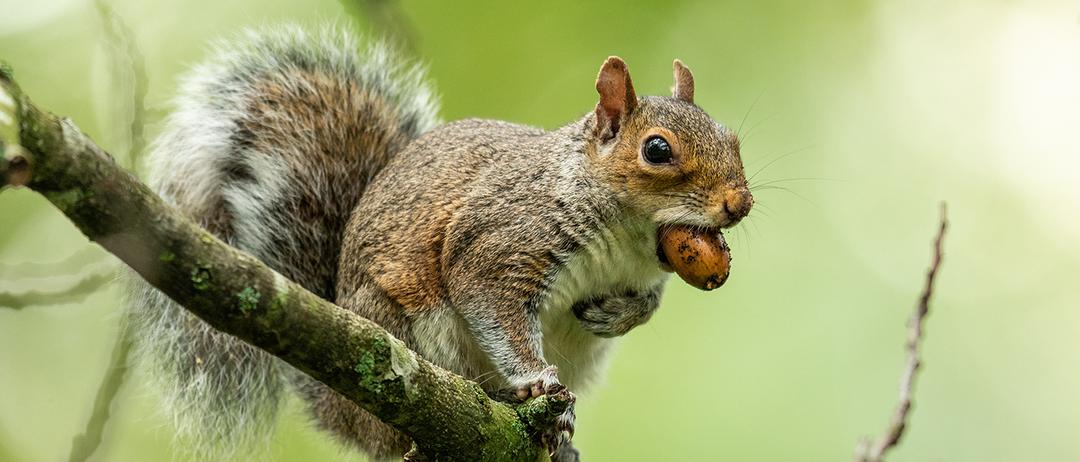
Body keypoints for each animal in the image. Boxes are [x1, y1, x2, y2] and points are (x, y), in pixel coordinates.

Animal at [126, 24, 752, 461]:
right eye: (656, 150)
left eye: (733, 139)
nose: (739, 204)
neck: (627, 238)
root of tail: (342, 411)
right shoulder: (502, 241)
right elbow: (489, 302)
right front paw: (536, 380)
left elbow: (647, 304)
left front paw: (617, 313)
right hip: (403, 339)